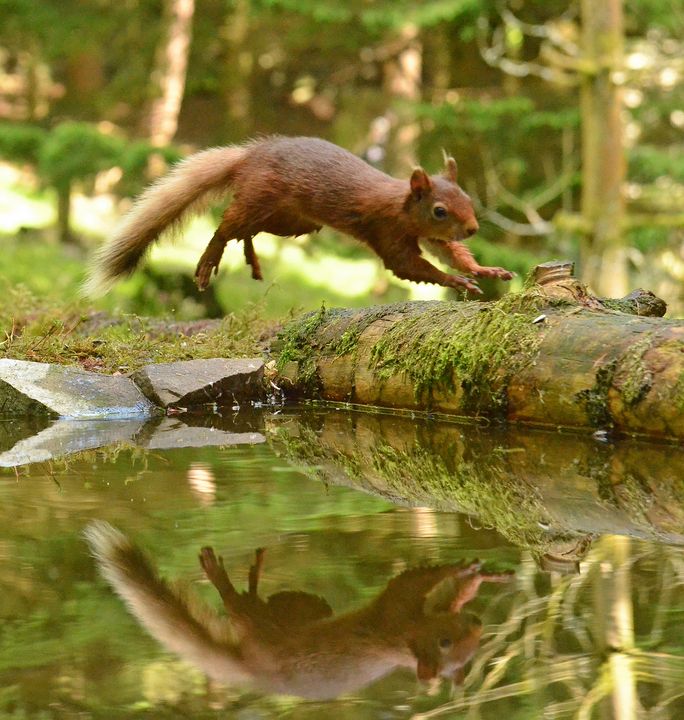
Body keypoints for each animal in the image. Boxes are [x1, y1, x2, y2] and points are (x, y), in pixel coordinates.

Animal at [84, 136, 514, 297]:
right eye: (440, 210)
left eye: (467, 198)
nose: (472, 228)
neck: (401, 206)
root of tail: (249, 156)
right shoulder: (387, 232)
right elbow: (408, 266)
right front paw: (455, 281)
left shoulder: (433, 238)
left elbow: (451, 253)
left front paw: (485, 271)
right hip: (263, 198)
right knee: (225, 226)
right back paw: (210, 260)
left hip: (294, 222)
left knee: (248, 230)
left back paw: (251, 259)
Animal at [84, 521, 513, 700]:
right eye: (444, 643)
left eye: (472, 650)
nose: (478, 622)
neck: (402, 646)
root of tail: (253, 672)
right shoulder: (395, 613)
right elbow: (416, 579)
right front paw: (463, 570)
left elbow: (447, 597)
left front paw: (480, 579)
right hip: (266, 631)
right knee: (237, 605)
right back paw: (217, 570)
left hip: (303, 608)